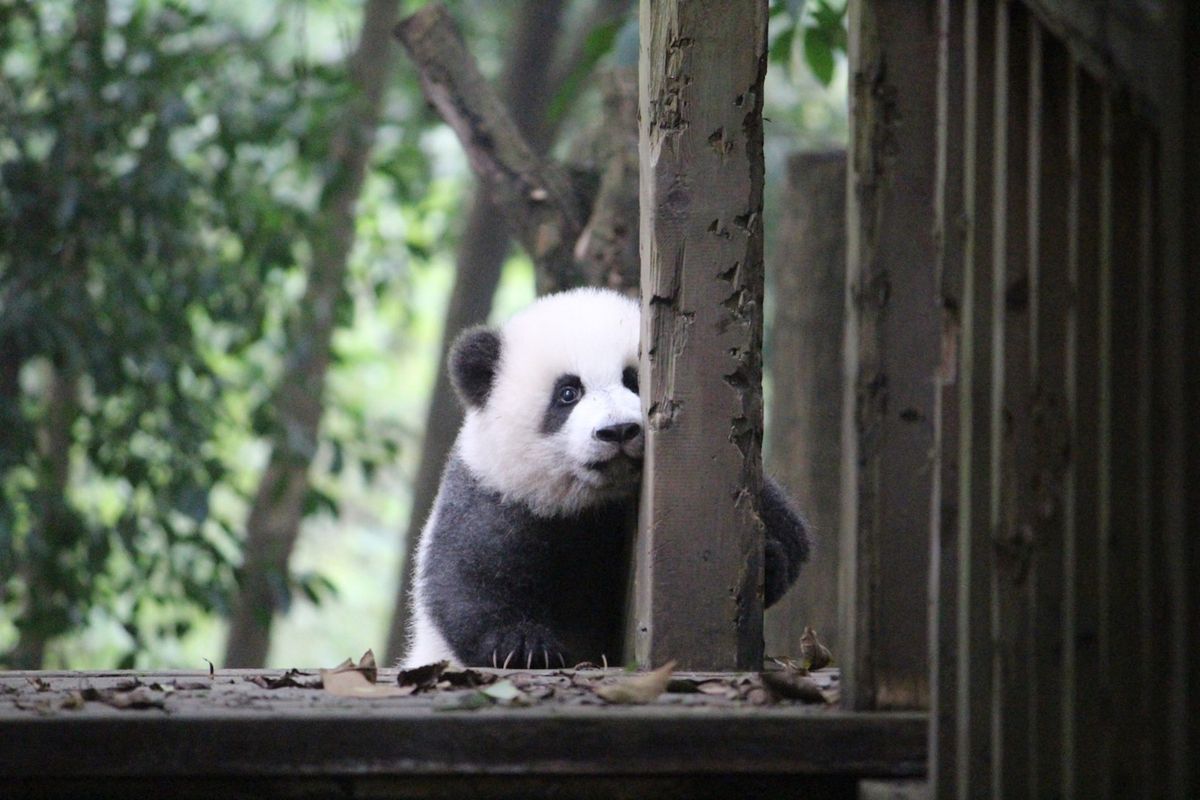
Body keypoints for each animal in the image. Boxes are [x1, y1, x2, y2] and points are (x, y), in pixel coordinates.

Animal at [404, 287, 810, 669]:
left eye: (633, 380)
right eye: (568, 393)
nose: (618, 431)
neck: (593, 499)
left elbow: (792, 534)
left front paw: (762, 560)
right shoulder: (494, 493)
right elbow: (467, 579)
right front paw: (523, 647)